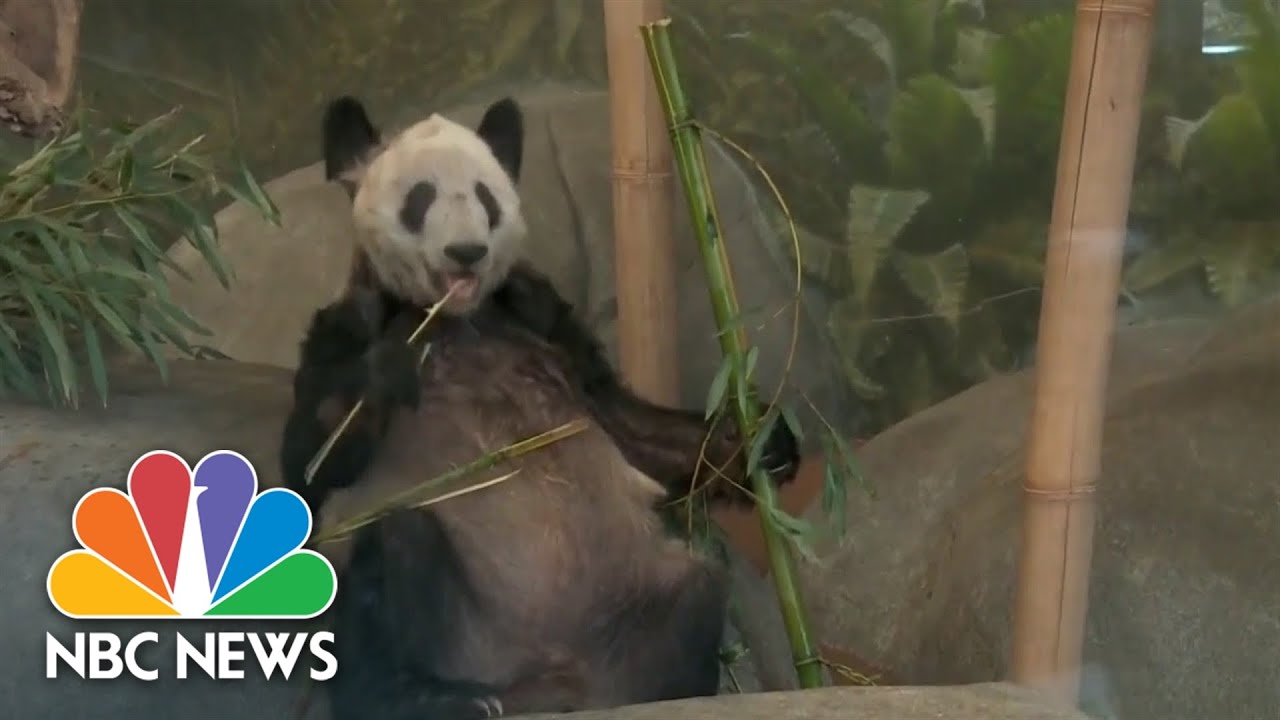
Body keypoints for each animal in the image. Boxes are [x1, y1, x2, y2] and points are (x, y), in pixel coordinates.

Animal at [279, 94, 801, 720]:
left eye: (485, 197)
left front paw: (762, 441)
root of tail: (552, 681)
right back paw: (435, 698)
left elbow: (632, 427)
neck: (452, 318)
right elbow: (310, 466)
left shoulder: (540, 316)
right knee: (394, 554)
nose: (467, 252)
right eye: (420, 199)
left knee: (693, 596)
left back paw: (664, 689)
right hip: (467, 623)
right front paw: (388, 373)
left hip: (633, 596)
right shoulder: (347, 325)